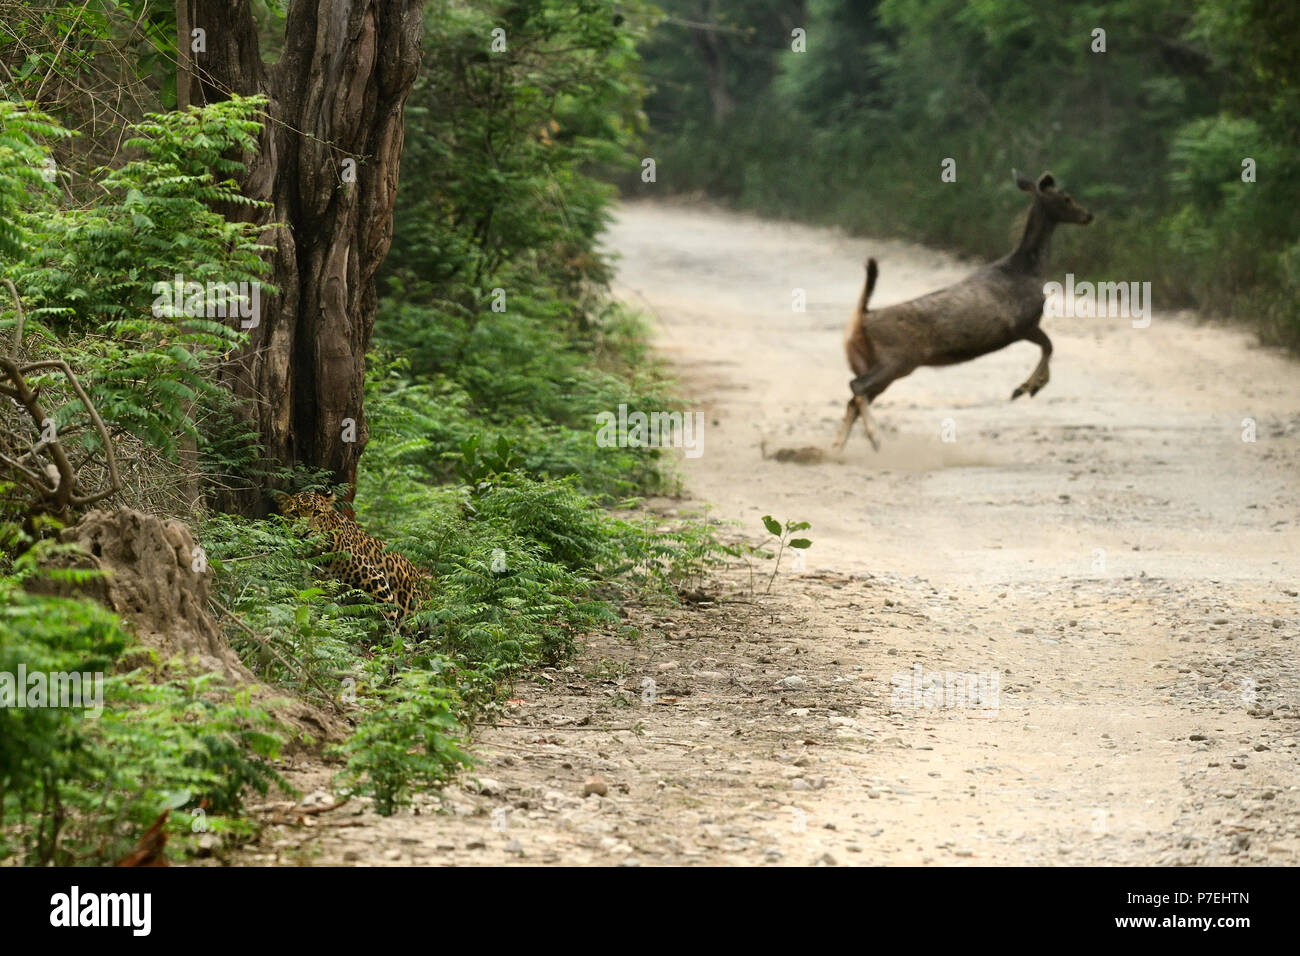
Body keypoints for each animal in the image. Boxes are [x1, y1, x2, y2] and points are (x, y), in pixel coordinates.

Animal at [274, 491, 429, 625]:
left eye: (317, 512)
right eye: (295, 513)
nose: (304, 532)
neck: (316, 555)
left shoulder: (378, 582)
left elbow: (386, 620)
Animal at [834, 170, 1094, 450]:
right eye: (1067, 198)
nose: (1088, 215)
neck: (1029, 269)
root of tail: (862, 318)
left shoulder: (1024, 327)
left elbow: (1048, 347)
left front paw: (1027, 387)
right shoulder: (1021, 324)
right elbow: (1049, 346)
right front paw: (1026, 387)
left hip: (876, 362)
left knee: (854, 399)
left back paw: (838, 447)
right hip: (896, 359)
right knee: (856, 387)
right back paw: (874, 437)